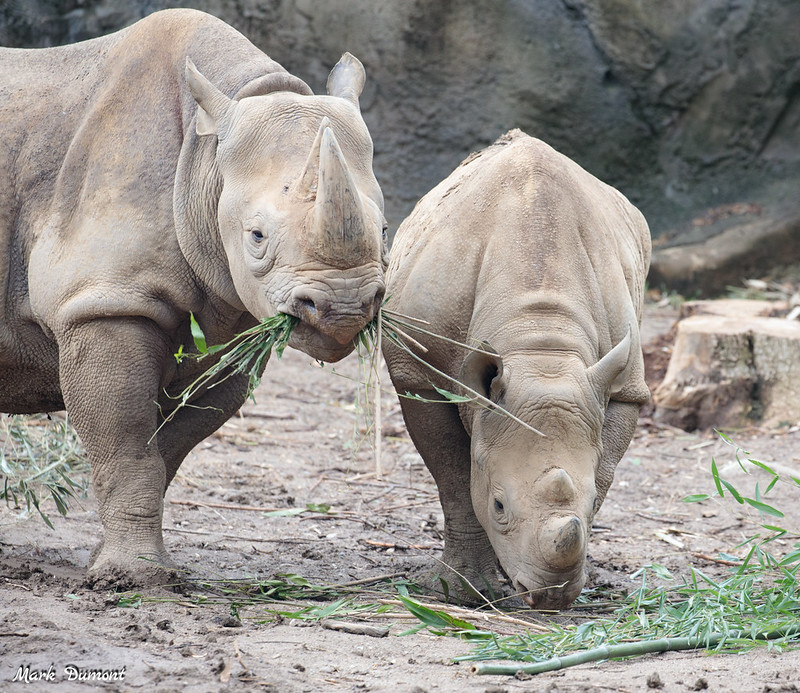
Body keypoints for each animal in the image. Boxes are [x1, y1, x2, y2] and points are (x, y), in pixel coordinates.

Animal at [0, 9, 386, 584]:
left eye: (384, 230)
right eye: (256, 237)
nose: (343, 309)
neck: (205, 161)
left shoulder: (231, 329)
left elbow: (168, 448)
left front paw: (114, 561)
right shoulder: (106, 301)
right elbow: (128, 446)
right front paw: (134, 579)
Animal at [384, 130, 650, 609]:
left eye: (591, 507)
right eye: (499, 506)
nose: (550, 596)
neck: (540, 345)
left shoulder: (624, 387)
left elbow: (602, 470)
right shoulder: (418, 373)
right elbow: (455, 478)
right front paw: (462, 591)